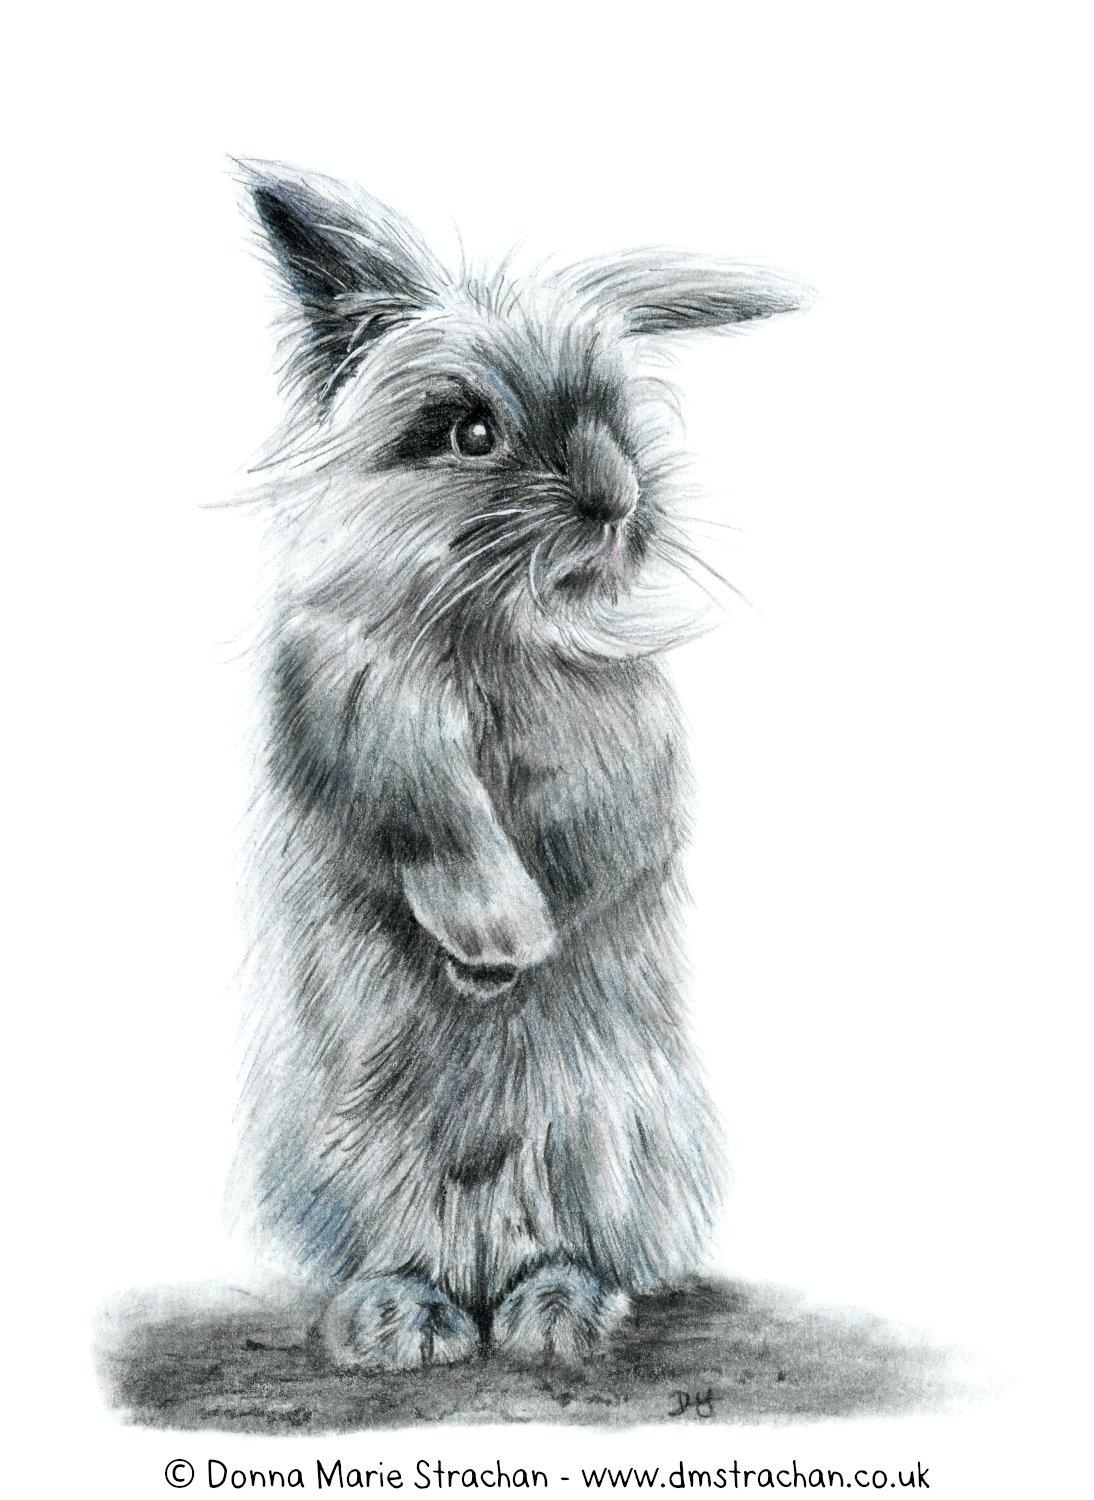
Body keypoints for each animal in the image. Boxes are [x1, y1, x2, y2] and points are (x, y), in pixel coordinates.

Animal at [229, 161, 811, 1370]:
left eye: (613, 415)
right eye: (468, 432)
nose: (615, 500)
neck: (490, 633)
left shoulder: (623, 760)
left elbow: (600, 844)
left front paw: (515, 955)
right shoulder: (349, 722)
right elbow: (424, 820)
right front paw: (495, 940)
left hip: (616, 1143)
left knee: (569, 1238)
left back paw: (554, 1315)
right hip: (343, 1159)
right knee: (410, 1242)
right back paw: (402, 1321)